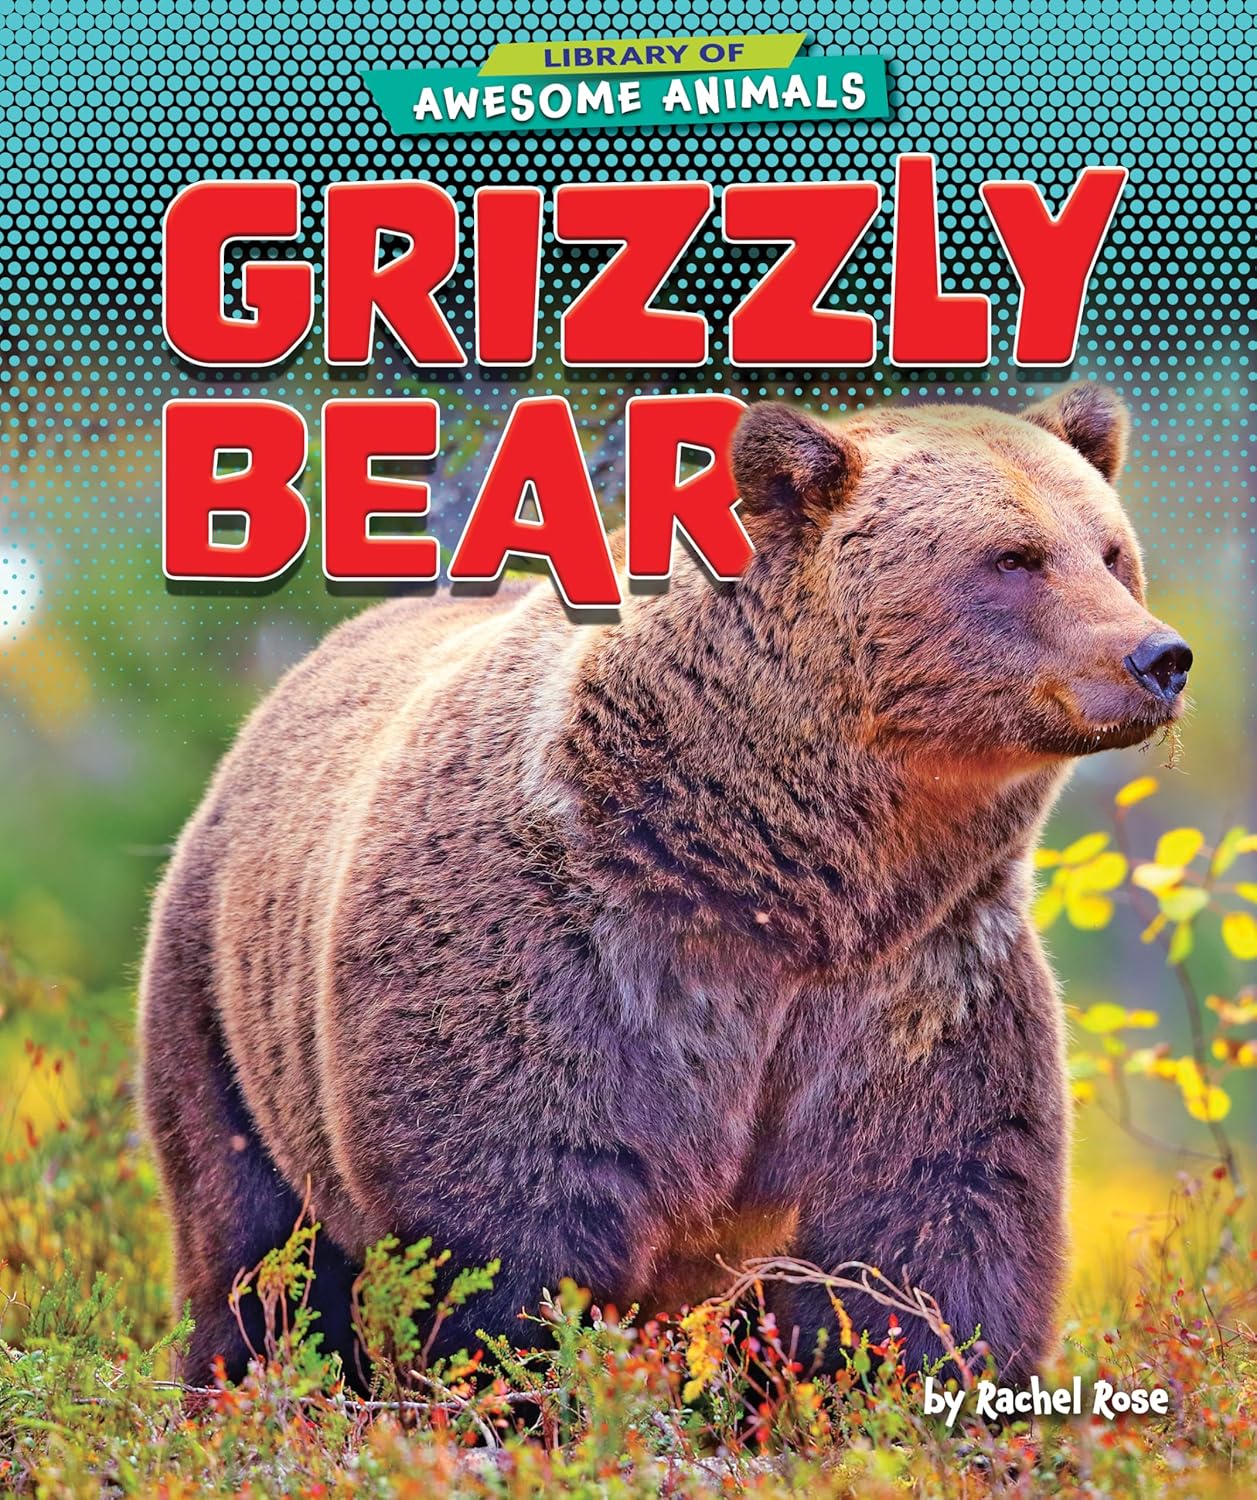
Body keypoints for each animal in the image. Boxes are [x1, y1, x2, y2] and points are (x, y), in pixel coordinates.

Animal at [139, 384, 1192, 1389]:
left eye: (1110, 551)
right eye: (1012, 557)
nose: (1158, 656)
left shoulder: (919, 978)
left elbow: (932, 1215)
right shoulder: (569, 953)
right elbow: (510, 1211)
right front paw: (520, 1383)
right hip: (219, 1003)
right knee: (249, 1240)